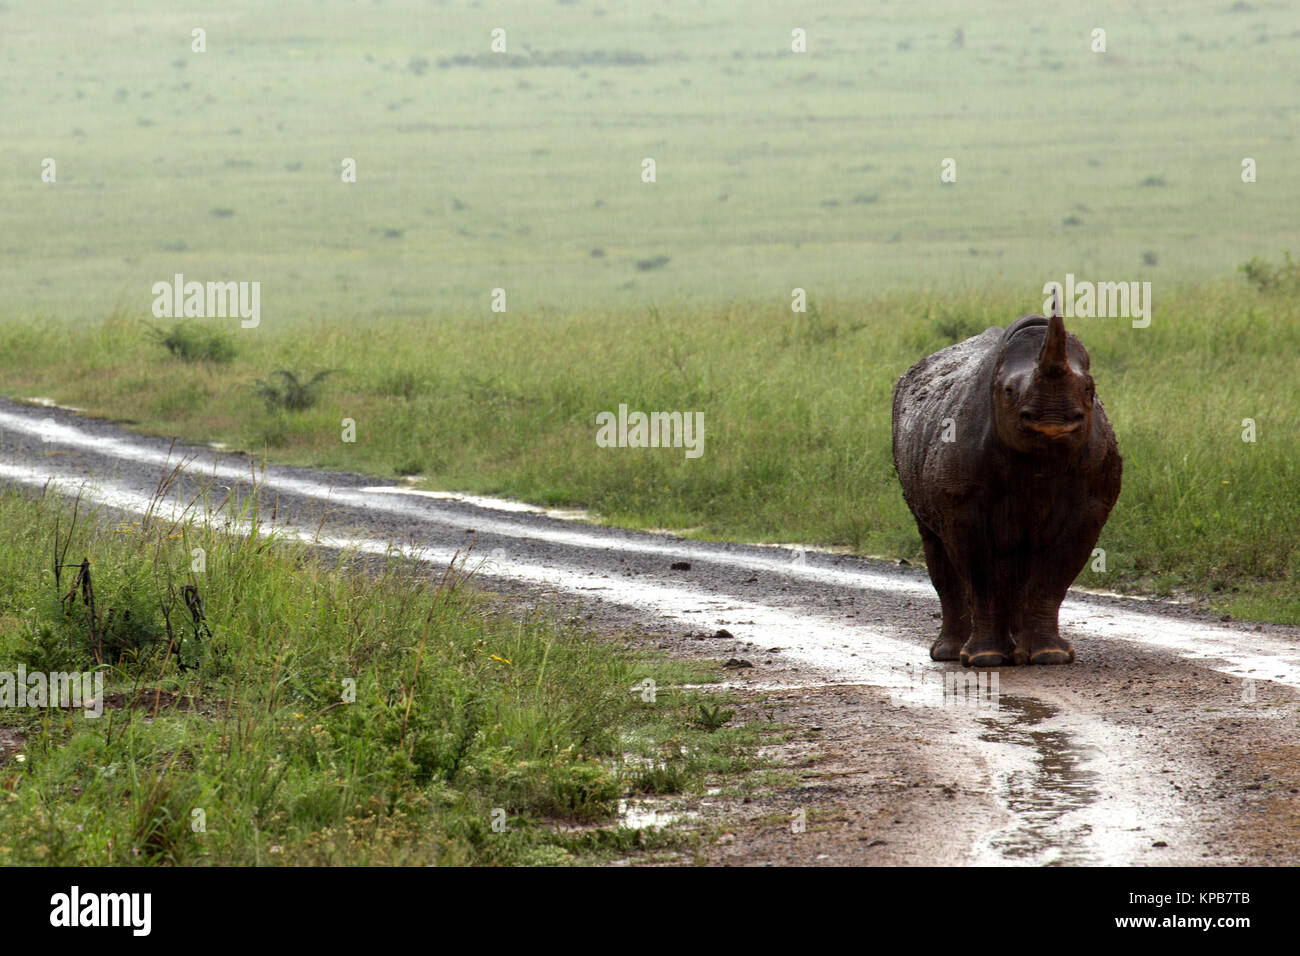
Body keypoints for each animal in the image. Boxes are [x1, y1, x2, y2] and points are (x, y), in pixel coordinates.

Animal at [891, 295, 1121, 666]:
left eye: (1089, 389)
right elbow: (980, 573)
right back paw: (950, 654)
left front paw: (1050, 656)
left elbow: (1055, 575)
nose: (1053, 421)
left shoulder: (1090, 507)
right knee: (936, 544)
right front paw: (985, 659)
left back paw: (1016, 649)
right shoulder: (964, 507)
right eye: (1009, 391)